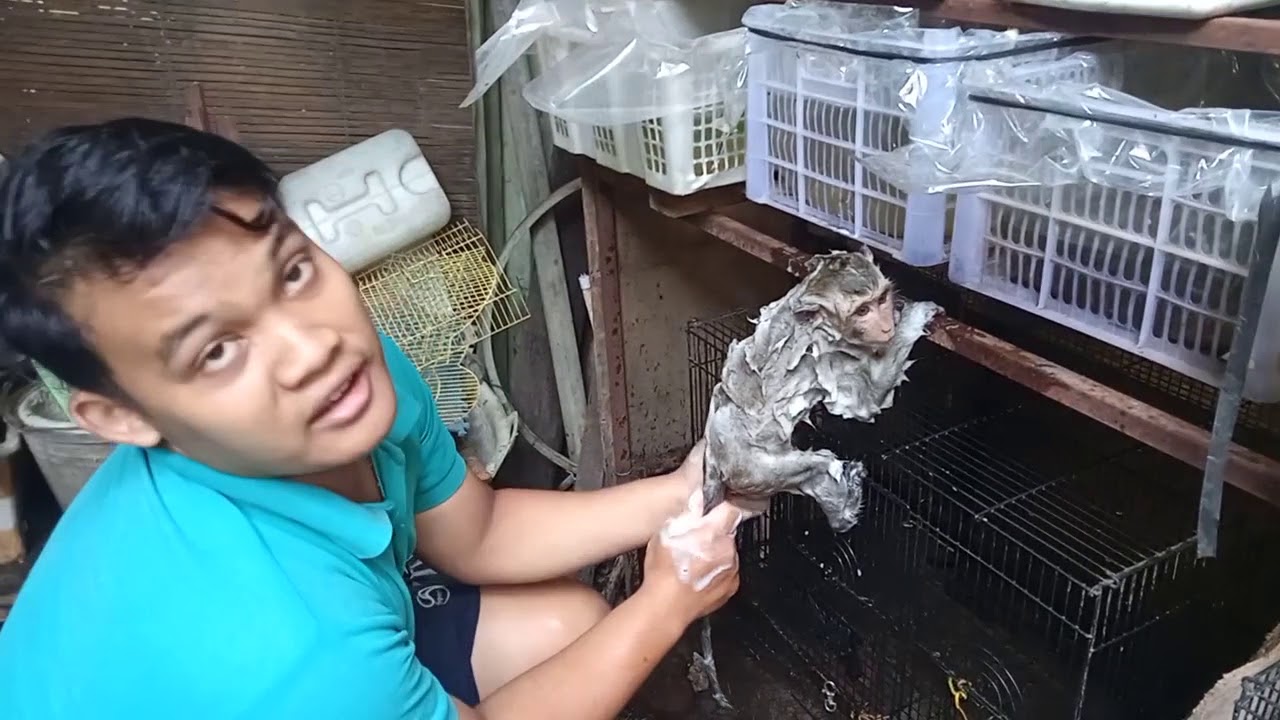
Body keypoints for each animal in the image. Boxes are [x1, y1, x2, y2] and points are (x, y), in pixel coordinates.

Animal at [688, 247, 941, 709]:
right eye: (862, 309)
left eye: (880, 298)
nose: (886, 324)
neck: (812, 310)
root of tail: (714, 460)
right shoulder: (830, 354)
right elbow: (865, 402)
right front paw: (917, 317)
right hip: (756, 469)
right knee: (819, 466)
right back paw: (846, 505)